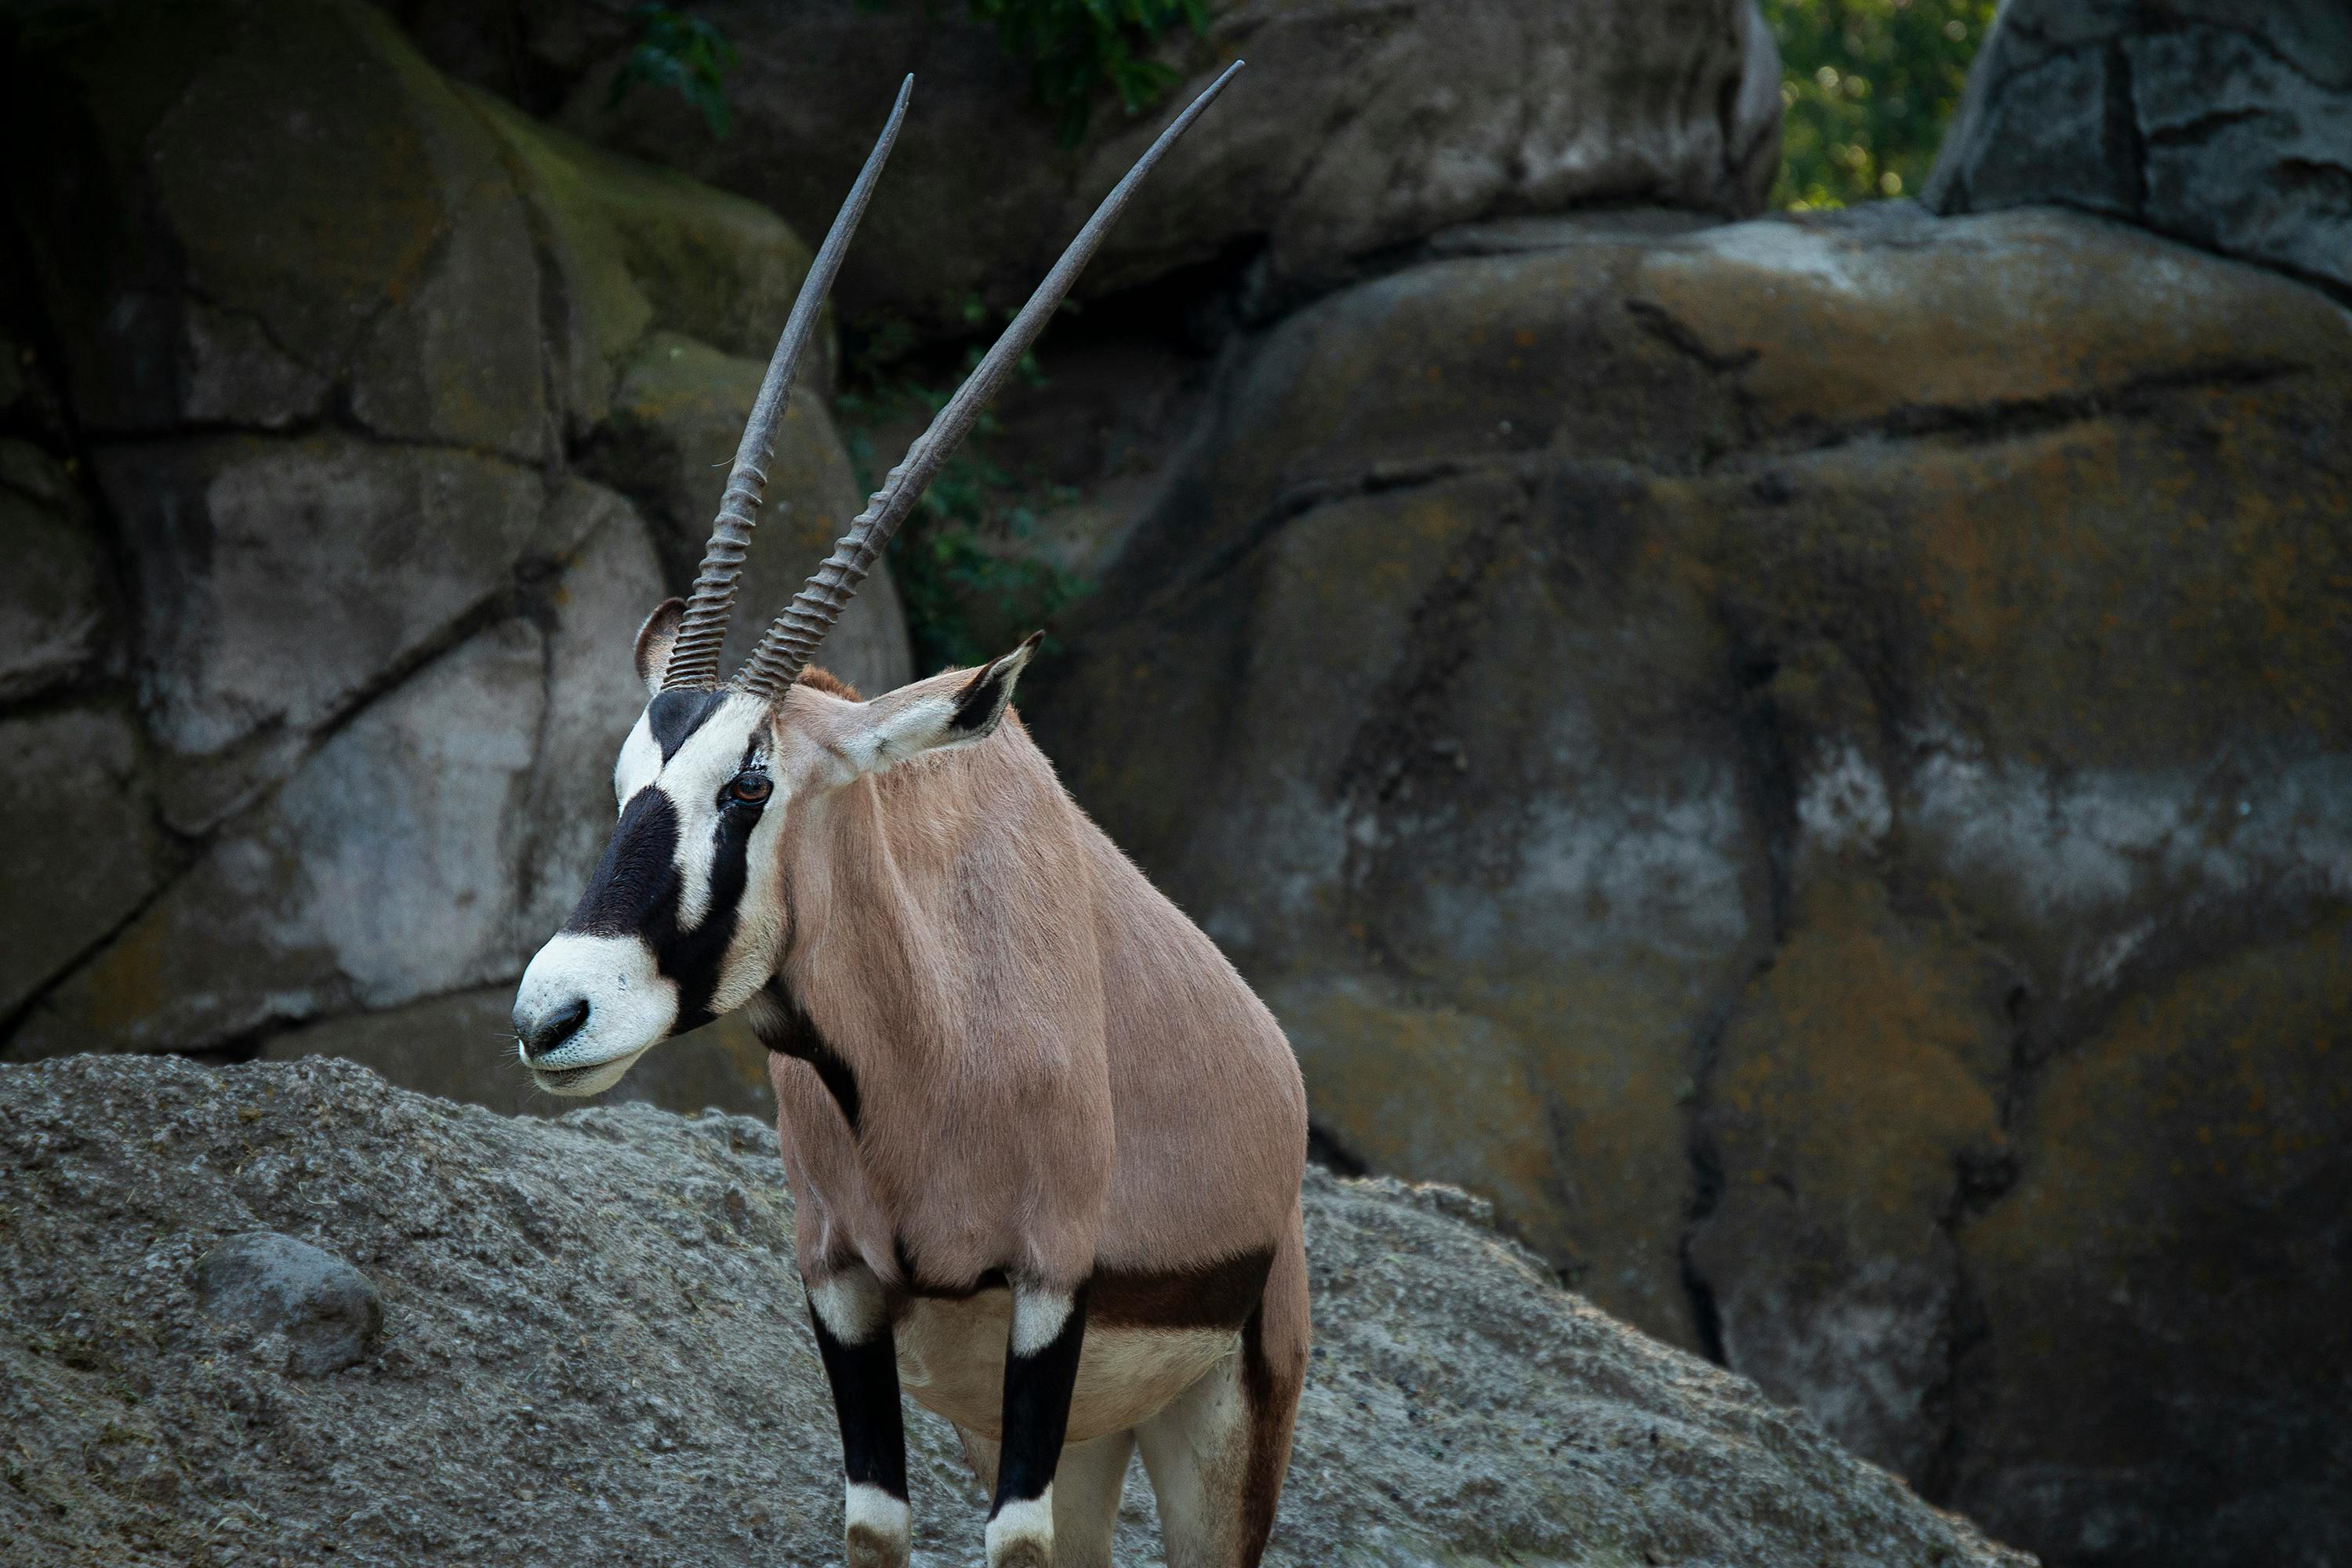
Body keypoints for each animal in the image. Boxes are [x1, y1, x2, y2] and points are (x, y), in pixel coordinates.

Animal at [510, 66, 1309, 1568]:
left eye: (749, 786)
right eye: (623, 782)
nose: (553, 1015)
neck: (927, 1045)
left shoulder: (1053, 1292)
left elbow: (1009, 1541)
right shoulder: (838, 1286)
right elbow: (875, 1522)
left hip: (1225, 1410)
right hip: (1089, 1434)